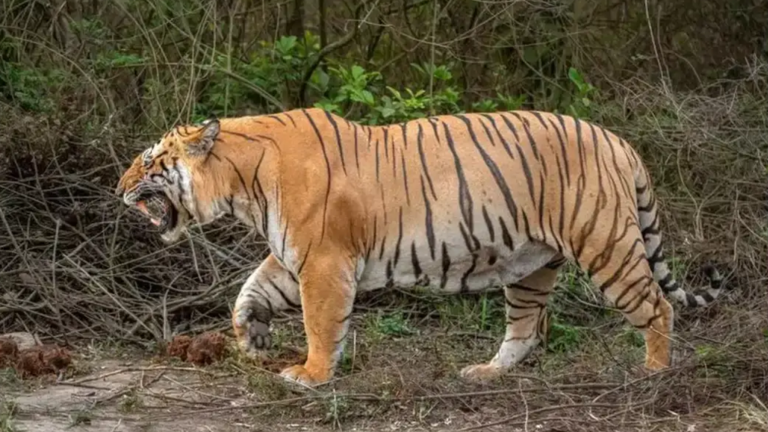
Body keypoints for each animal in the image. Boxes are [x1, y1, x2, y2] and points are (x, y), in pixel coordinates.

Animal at [115, 108, 725, 386]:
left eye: (148, 161)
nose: (118, 187)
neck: (242, 184)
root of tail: (618, 139)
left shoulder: (323, 261)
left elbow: (319, 323)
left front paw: (310, 375)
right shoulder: (295, 258)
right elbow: (249, 292)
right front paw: (253, 339)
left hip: (606, 244)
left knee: (657, 306)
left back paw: (654, 372)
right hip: (531, 266)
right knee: (525, 330)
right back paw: (485, 372)